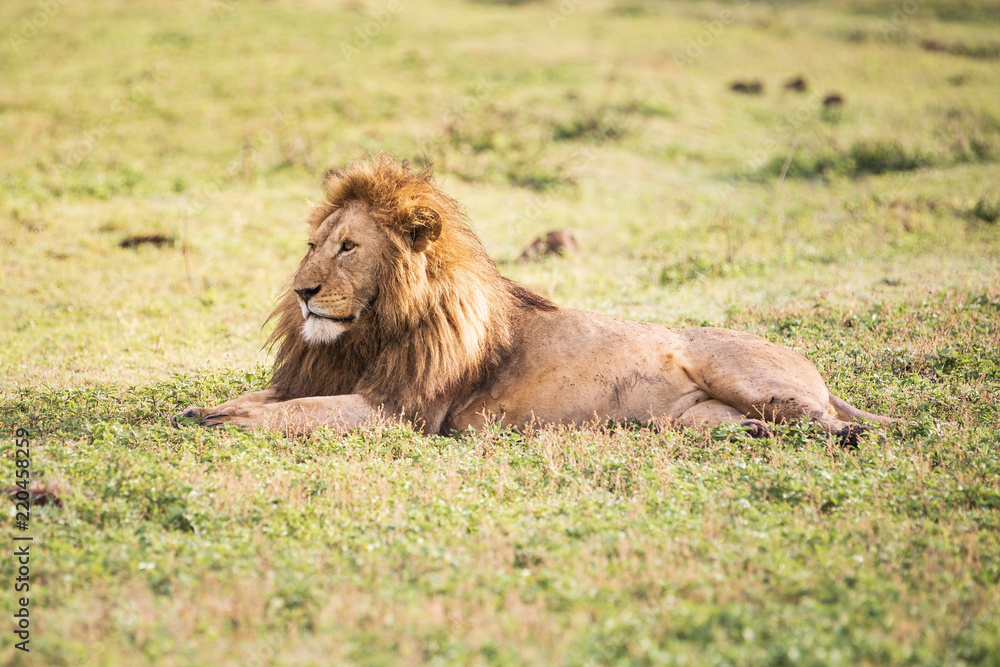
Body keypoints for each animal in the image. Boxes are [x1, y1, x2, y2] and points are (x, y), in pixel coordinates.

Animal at [175, 154, 896, 443]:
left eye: (348, 247)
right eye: (313, 245)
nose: (302, 292)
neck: (367, 333)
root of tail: (813, 369)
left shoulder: (399, 412)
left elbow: (292, 415)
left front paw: (221, 420)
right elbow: (271, 398)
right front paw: (198, 408)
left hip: (751, 377)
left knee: (833, 423)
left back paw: (846, 436)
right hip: (691, 416)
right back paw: (748, 434)